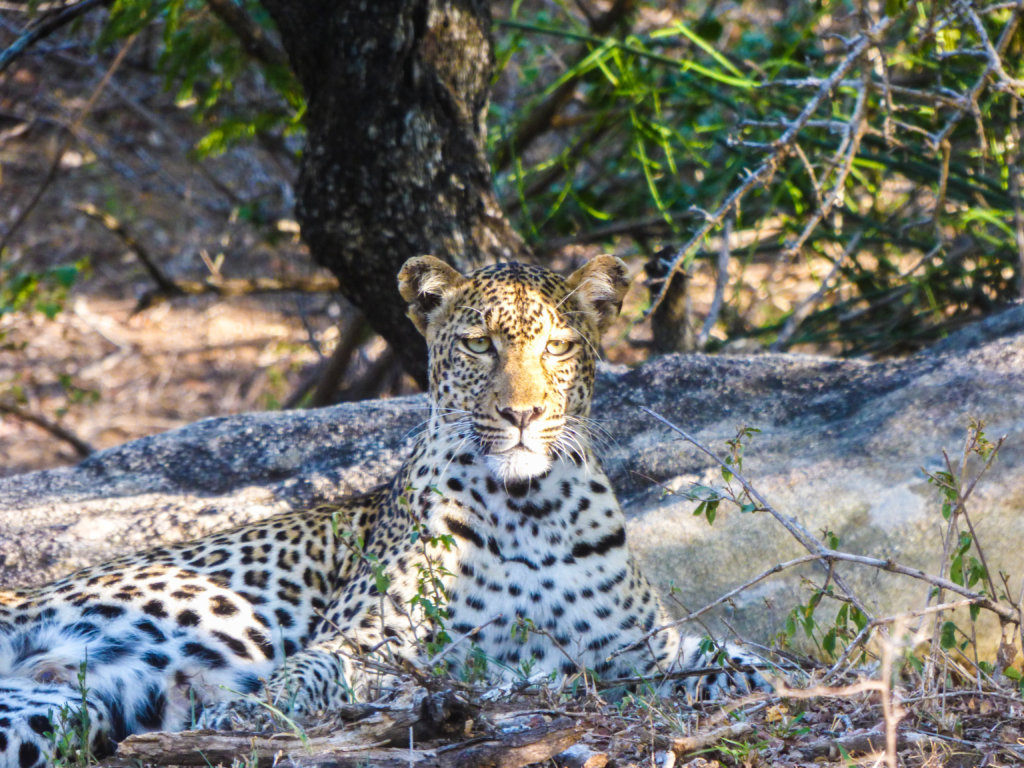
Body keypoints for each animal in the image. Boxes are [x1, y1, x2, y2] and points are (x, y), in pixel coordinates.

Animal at [0, 256, 766, 767]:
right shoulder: (374, 638)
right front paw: (243, 710)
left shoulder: (639, 648)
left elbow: (741, 662)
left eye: (558, 346)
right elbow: (310, 672)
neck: (532, 508)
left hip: (58, 710)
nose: (522, 414)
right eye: (479, 344)